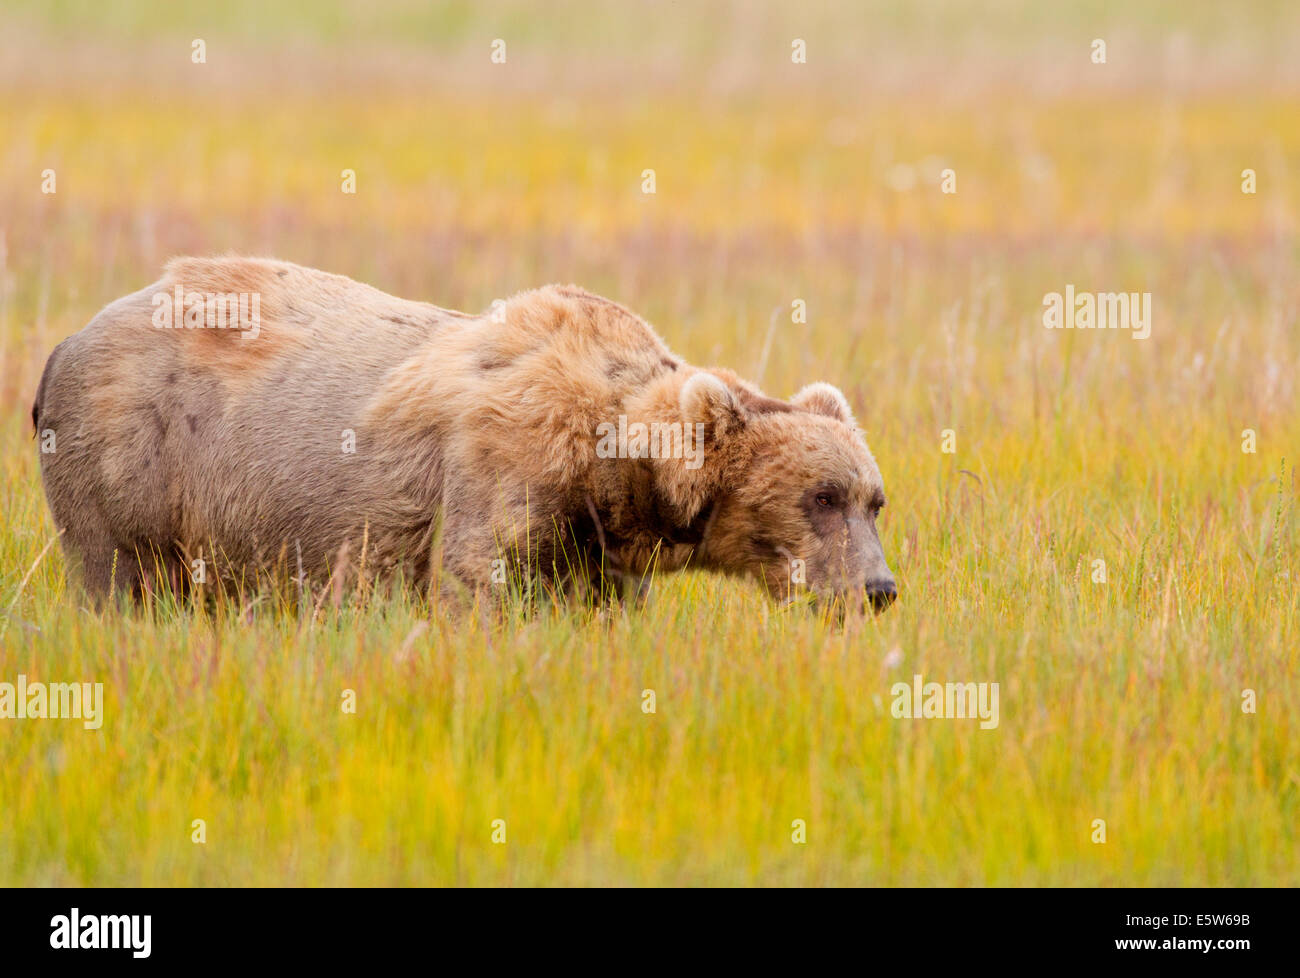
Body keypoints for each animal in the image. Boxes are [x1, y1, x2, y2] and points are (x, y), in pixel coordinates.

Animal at [31, 257, 897, 611]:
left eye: (874, 499)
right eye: (822, 496)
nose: (879, 588)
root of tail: (65, 344)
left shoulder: (598, 543)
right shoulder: (499, 467)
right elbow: (478, 584)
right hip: (136, 458)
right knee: (123, 580)